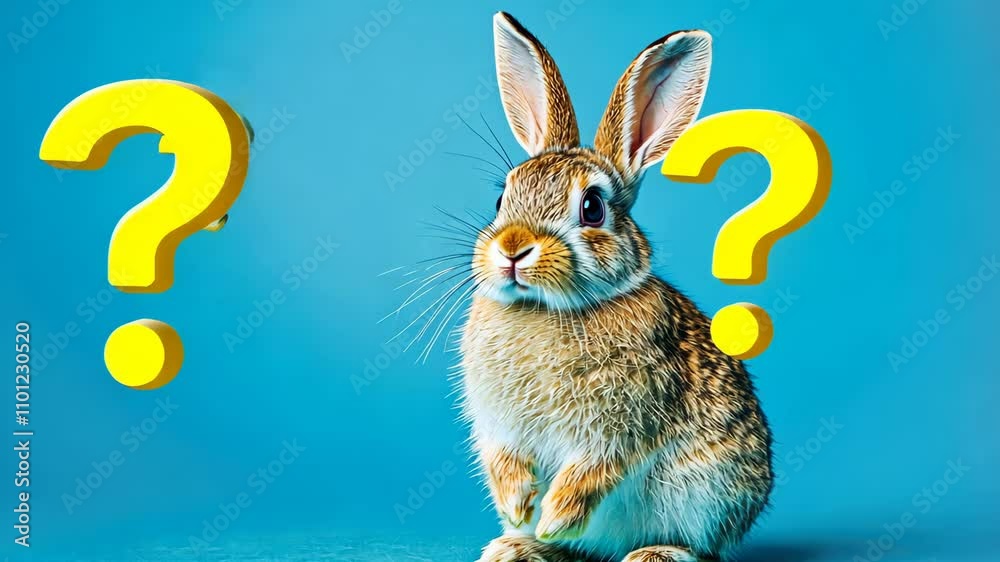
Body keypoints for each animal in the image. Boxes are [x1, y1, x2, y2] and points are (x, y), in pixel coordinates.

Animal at [459, 12, 773, 562]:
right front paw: (520, 507)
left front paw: (556, 514)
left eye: (592, 208)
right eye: (502, 198)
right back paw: (520, 545)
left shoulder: (622, 427)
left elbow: (595, 468)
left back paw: (648, 553)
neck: (543, 308)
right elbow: (504, 459)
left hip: (705, 494)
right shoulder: (498, 427)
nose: (513, 249)